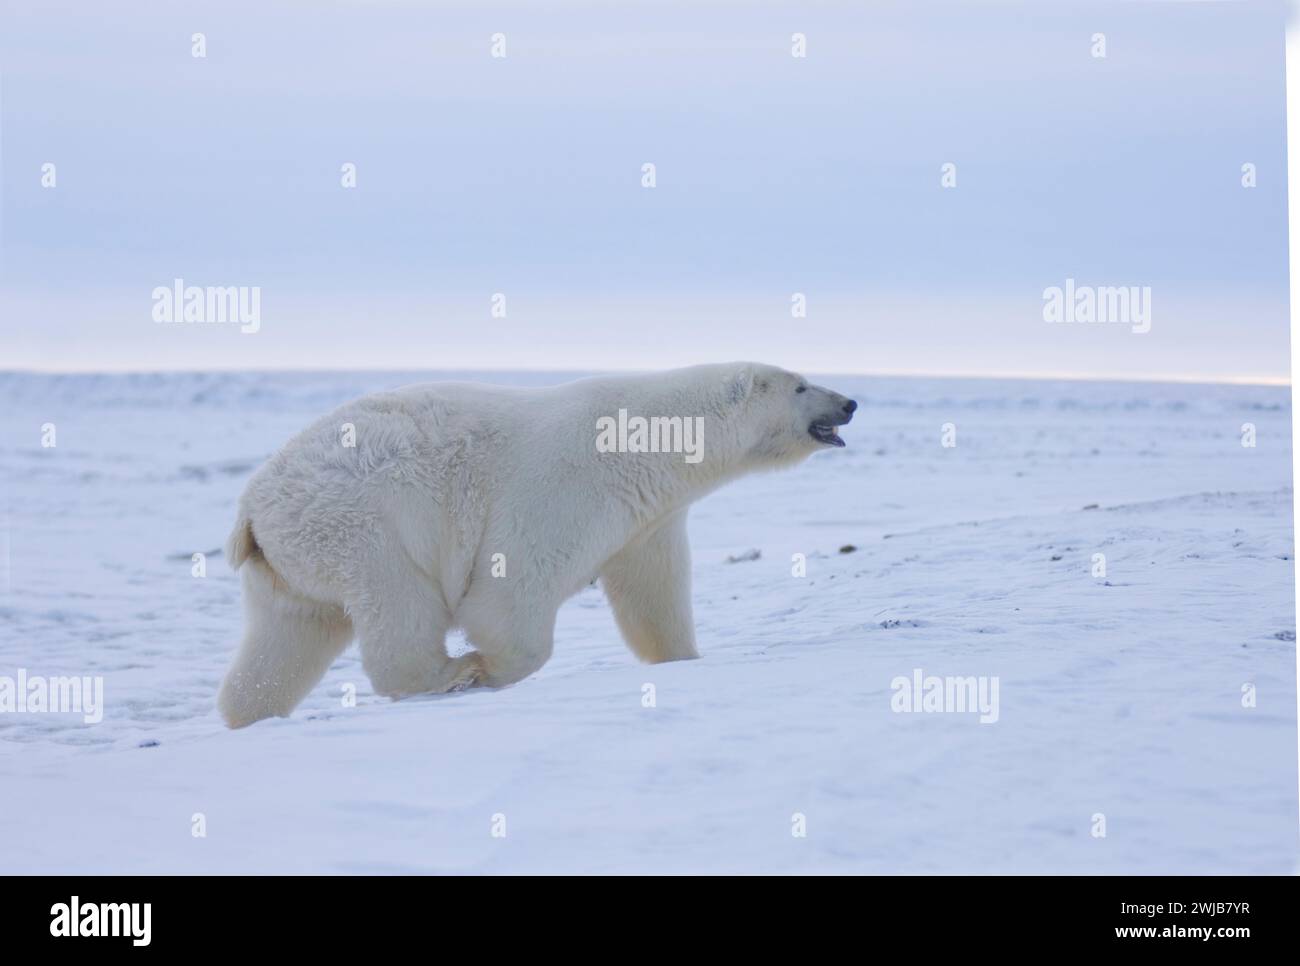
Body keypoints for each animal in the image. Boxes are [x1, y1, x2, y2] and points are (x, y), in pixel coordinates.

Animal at [217, 362, 856, 728]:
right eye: (801, 385)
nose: (849, 401)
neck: (649, 438)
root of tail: (252, 510)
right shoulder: (565, 485)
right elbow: (510, 588)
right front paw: (488, 666)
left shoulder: (648, 517)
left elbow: (654, 592)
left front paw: (684, 659)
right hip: (362, 520)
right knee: (398, 600)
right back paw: (449, 673)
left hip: (291, 562)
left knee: (287, 637)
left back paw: (250, 712)